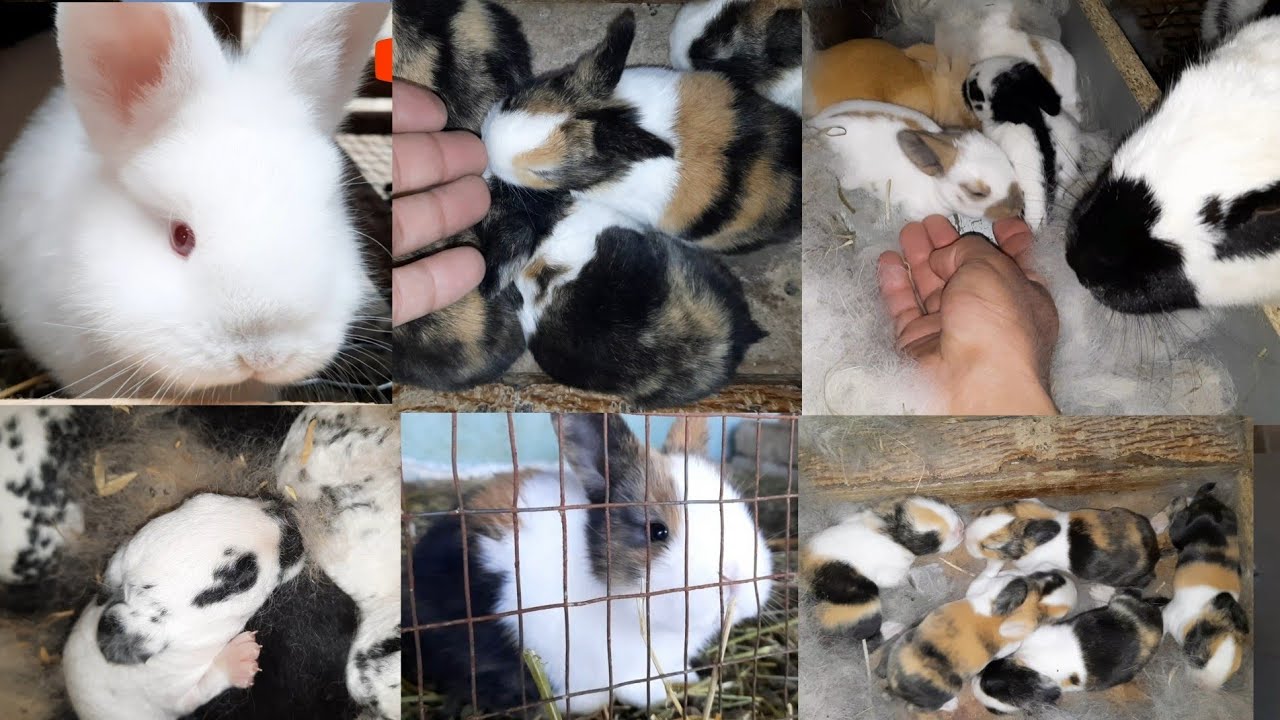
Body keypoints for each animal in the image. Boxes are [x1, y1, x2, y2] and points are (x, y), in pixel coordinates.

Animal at [62, 494, 306, 720]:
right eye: (242, 578)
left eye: (207, 498)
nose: (291, 523)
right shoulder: (177, 700)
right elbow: (203, 688)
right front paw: (238, 659)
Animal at [883, 567, 1073, 712]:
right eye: (1052, 580)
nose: (1064, 578)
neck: (1028, 606)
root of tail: (896, 683)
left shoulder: (982, 588)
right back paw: (951, 705)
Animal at [1164, 483, 1249, 689]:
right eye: (1199, 659)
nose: (1202, 686)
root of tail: (1211, 504)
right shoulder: (1168, 614)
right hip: (1179, 532)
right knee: (1179, 516)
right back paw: (1179, 501)